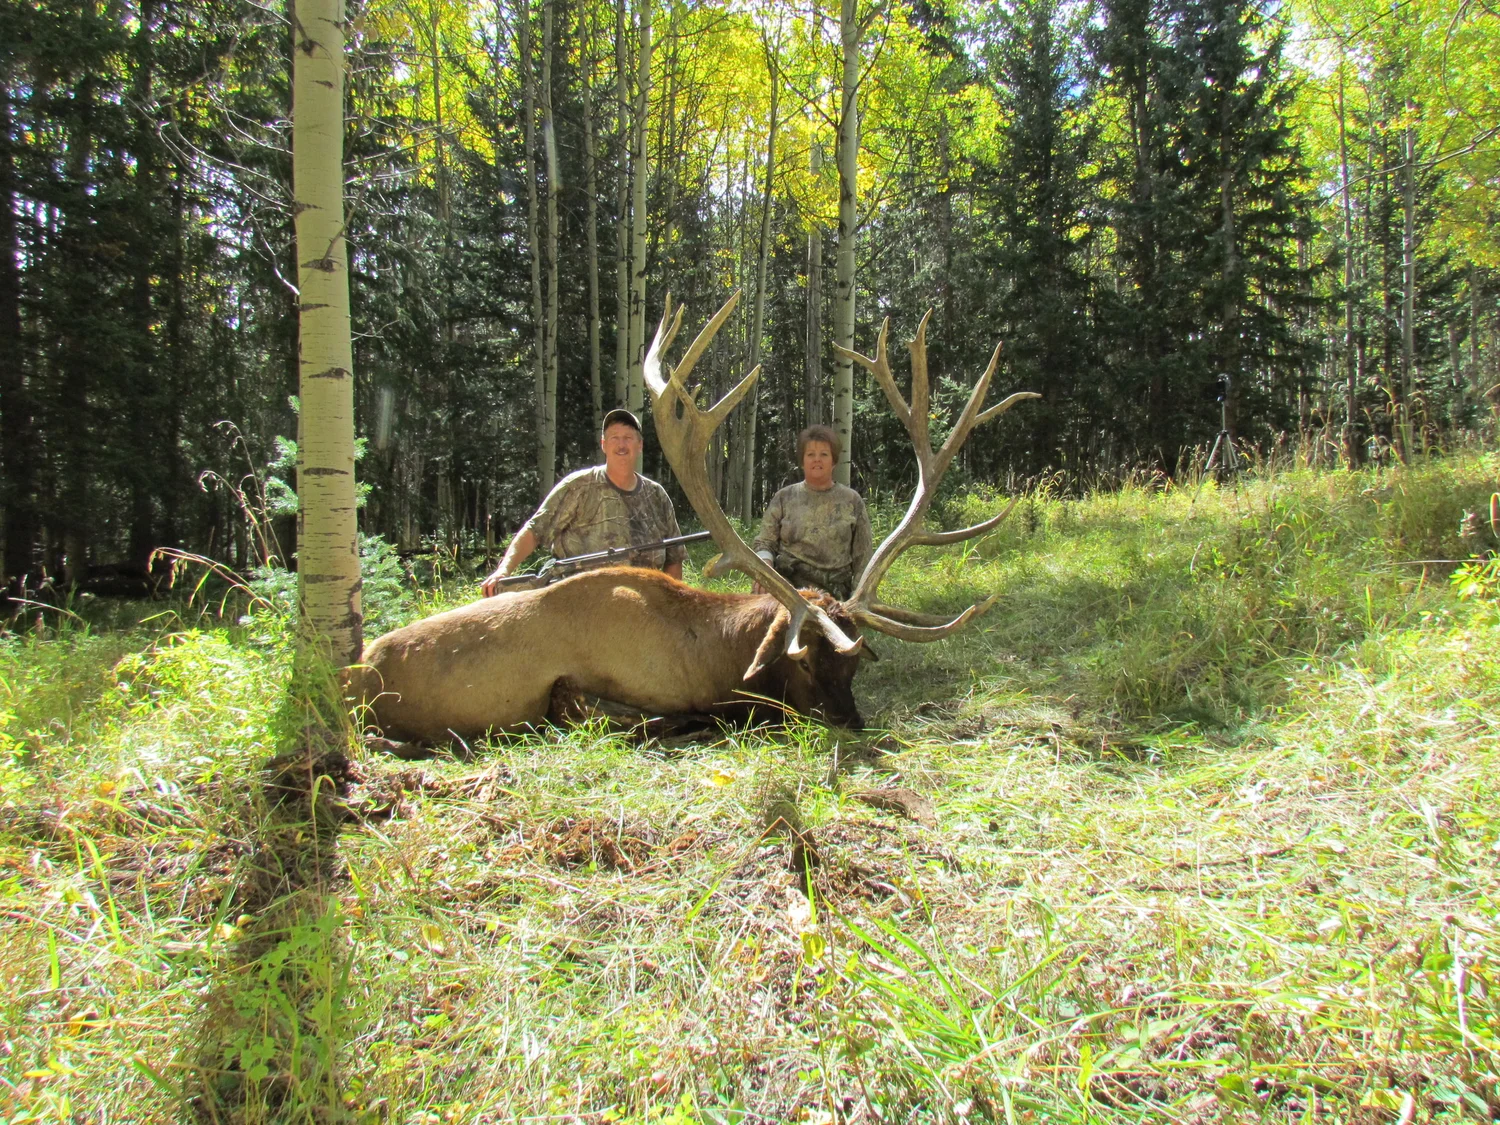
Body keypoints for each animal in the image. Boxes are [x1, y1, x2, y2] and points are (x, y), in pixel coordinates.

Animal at [344, 293, 1037, 742]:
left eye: (854, 661)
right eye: (804, 660)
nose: (853, 723)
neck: (711, 656)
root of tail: (353, 669)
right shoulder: (590, 691)